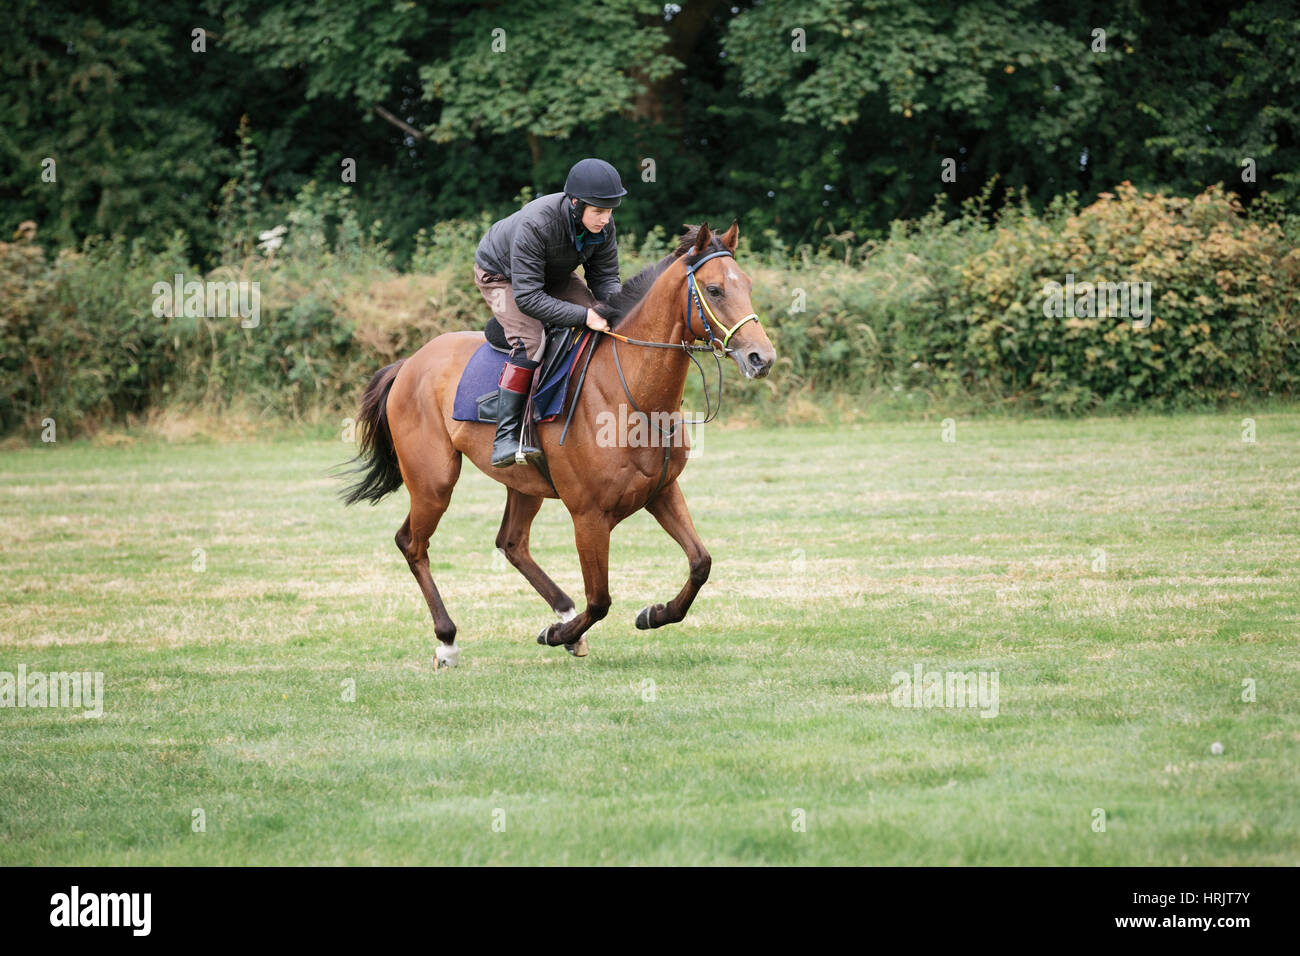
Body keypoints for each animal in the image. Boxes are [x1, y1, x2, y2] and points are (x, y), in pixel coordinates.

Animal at [339, 221, 776, 665]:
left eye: (747, 285)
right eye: (715, 289)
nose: (762, 357)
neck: (629, 392)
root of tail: (409, 363)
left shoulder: (662, 491)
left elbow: (701, 563)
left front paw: (653, 613)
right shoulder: (588, 515)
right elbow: (600, 600)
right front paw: (557, 633)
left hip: (523, 483)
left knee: (511, 543)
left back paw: (562, 611)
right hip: (433, 481)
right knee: (413, 544)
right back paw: (448, 640)